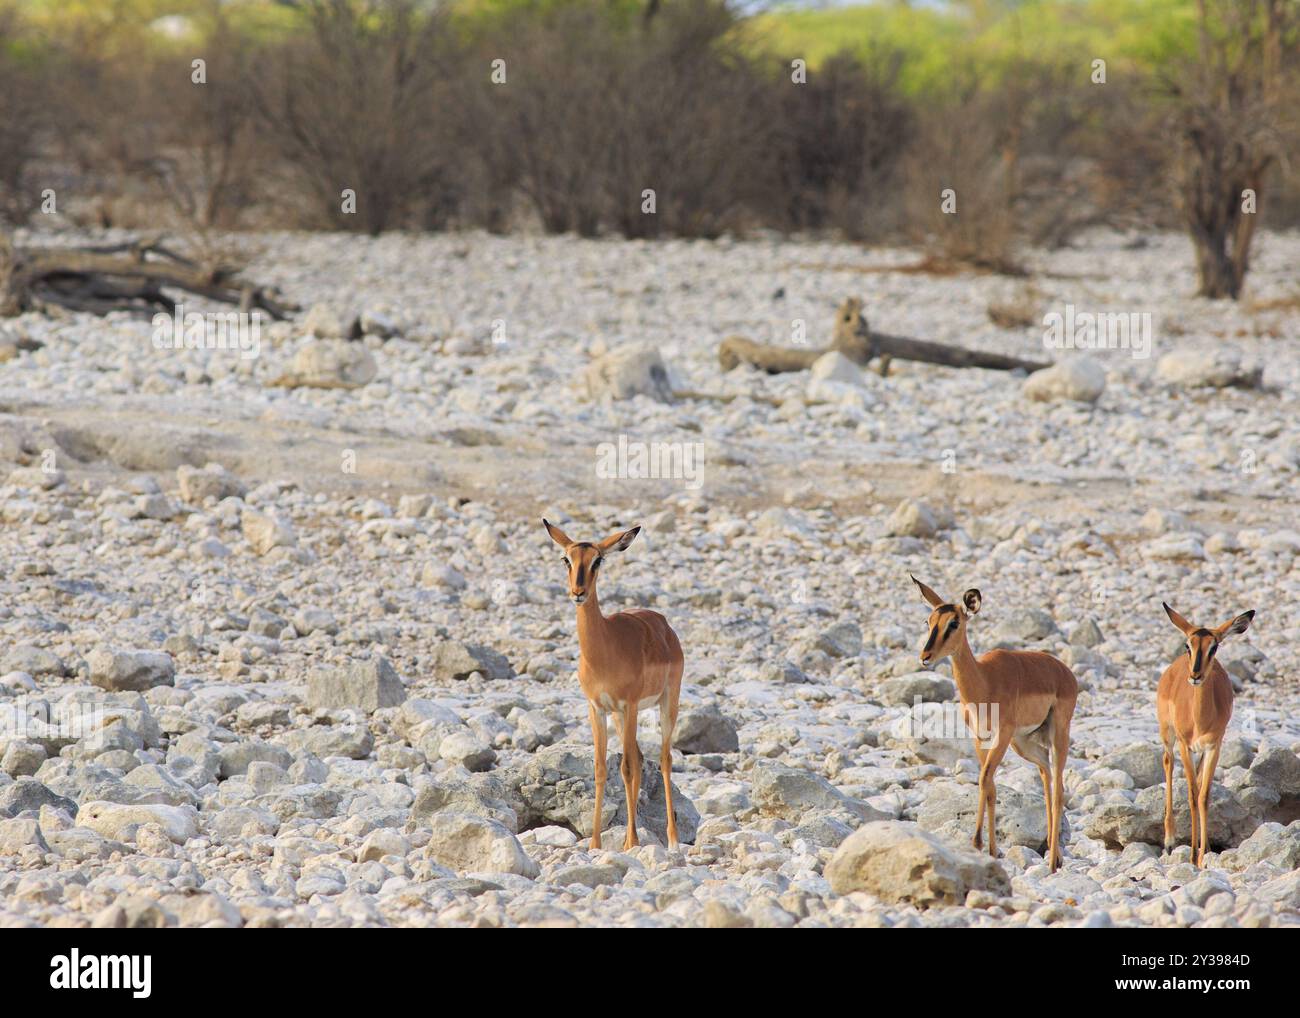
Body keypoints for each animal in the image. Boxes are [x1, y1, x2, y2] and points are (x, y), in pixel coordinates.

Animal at [543, 519, 684, 851]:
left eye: (598, 561)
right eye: (566, 559)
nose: (578, 592)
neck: (605, 648)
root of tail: (664, 626)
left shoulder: (629, 705)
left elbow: (628, 768)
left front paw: (631, 842)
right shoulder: (597, 708)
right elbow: (601, 768)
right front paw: (595, 844)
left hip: (666, 702)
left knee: (663, 758)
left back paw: (672, 839)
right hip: (620, 716)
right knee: (640, 758)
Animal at [911, 576, 1078, 871]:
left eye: (954, 622)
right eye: (928, 620)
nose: (925, 656)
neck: (985, 681)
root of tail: (1066, 674)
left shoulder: (1002, 734)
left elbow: (985, 779)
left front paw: (978, 843)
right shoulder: (981, 738)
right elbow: (989, 785)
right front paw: (989, 849)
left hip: (1058, 734)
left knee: (1058, 788)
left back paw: (1052, 864)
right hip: (1024, 744)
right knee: (1045, 772)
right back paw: (1053, 852)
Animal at [1157, 602, 1254, 868]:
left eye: (1214, 647)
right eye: (1187, 645)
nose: (1195, 676)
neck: (1199, 721)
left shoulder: (1213, 747)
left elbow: (1203, 796)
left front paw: (1202, 855)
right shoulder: (1184, 746)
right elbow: (1191, 796)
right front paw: (1192, 855)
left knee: (1199, 781)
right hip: (1168, 736)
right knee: (1168, 763)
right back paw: (1169, 841)